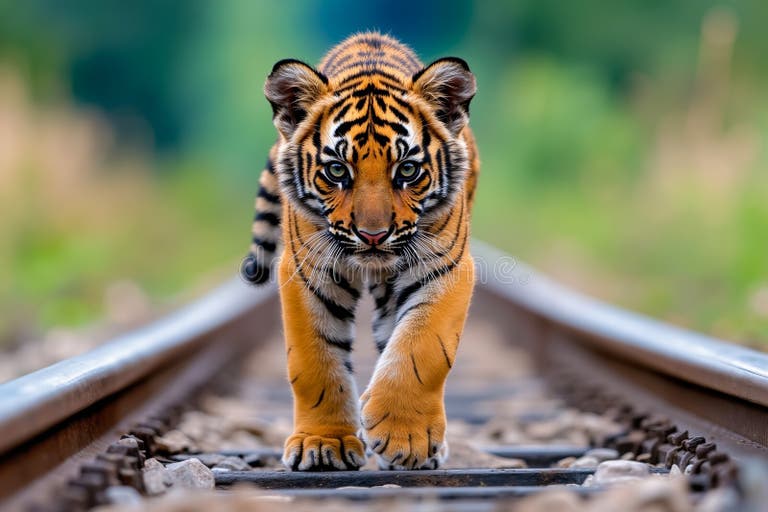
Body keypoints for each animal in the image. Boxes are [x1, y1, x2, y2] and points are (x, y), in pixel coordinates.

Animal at [241, 32, 479, 471]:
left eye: (407, 170)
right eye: (337, 171)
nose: (373, 235)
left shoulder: (446, 266)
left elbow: (421, 348)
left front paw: (405, 436)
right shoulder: (308, 270)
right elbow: (314, 361)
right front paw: (322, 444)